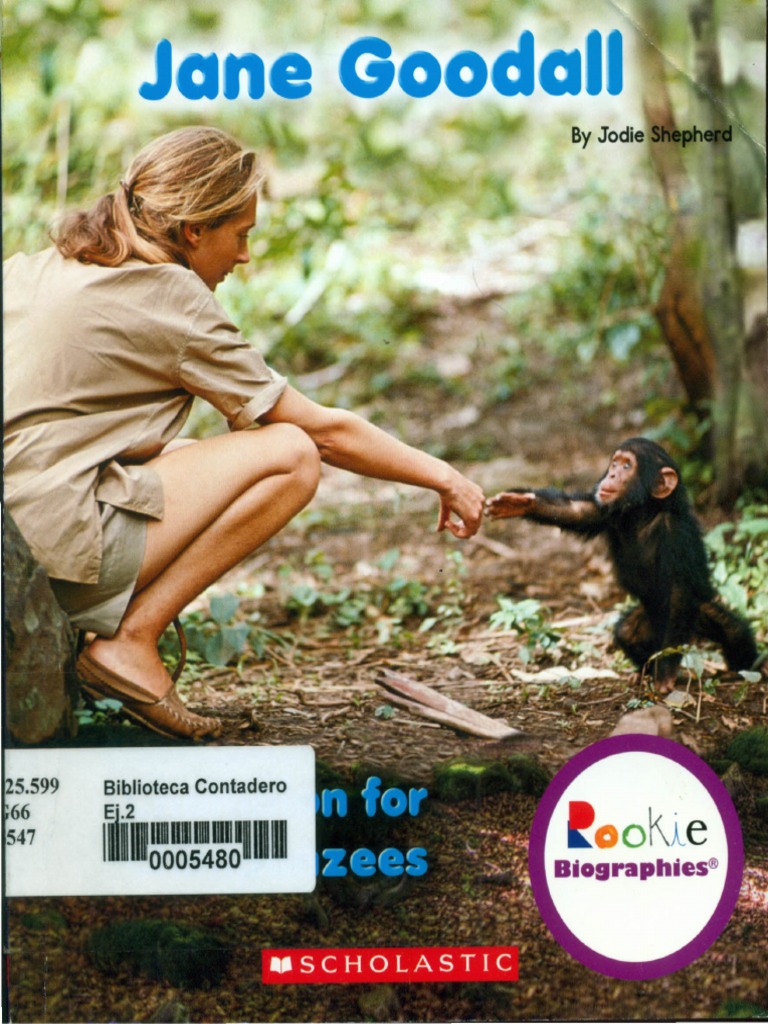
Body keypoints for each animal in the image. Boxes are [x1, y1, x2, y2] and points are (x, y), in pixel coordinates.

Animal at [485, 437, 760, 692]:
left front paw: (666, 673)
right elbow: (575, 511)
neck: (643, 513)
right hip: (649, 619)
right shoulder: (605, 511)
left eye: (627, 466)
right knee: (628, 633)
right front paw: (519, 502)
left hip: (694, 614)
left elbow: (679, 592)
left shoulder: (676, 538)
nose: (612, 474)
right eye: (615, 463)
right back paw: (643, 671)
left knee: (733, 631)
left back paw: (750, 666)